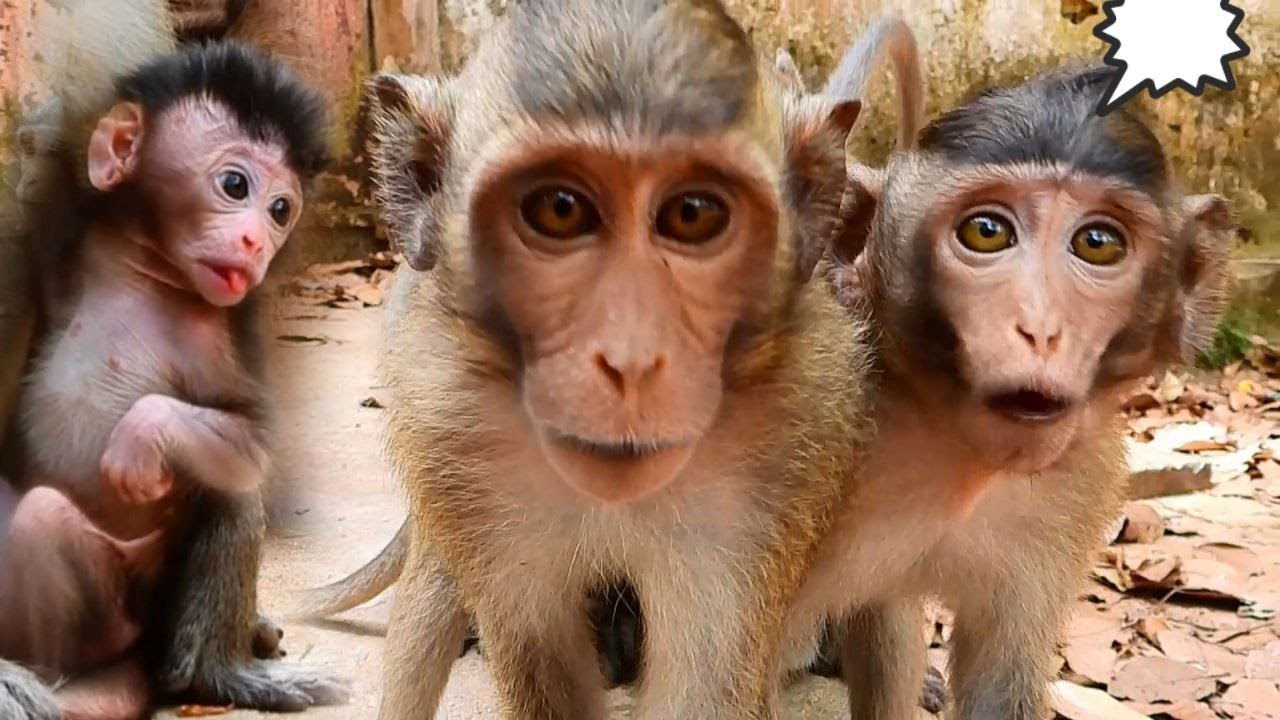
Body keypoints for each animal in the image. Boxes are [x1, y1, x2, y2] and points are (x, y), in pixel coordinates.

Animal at [0, 40, 349, 719]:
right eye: (235, 185)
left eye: (281, 210)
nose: (256, 241)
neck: (143, 275)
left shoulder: (218, 337)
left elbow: (255, 439)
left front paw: (143, 434)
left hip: (133, 598)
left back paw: (210, 676)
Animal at [298, 0, 881, 717]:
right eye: (560, 210)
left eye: (692, 214)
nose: (630, 358)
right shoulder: (451, 432)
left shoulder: (786, 451)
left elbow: (707, 681)